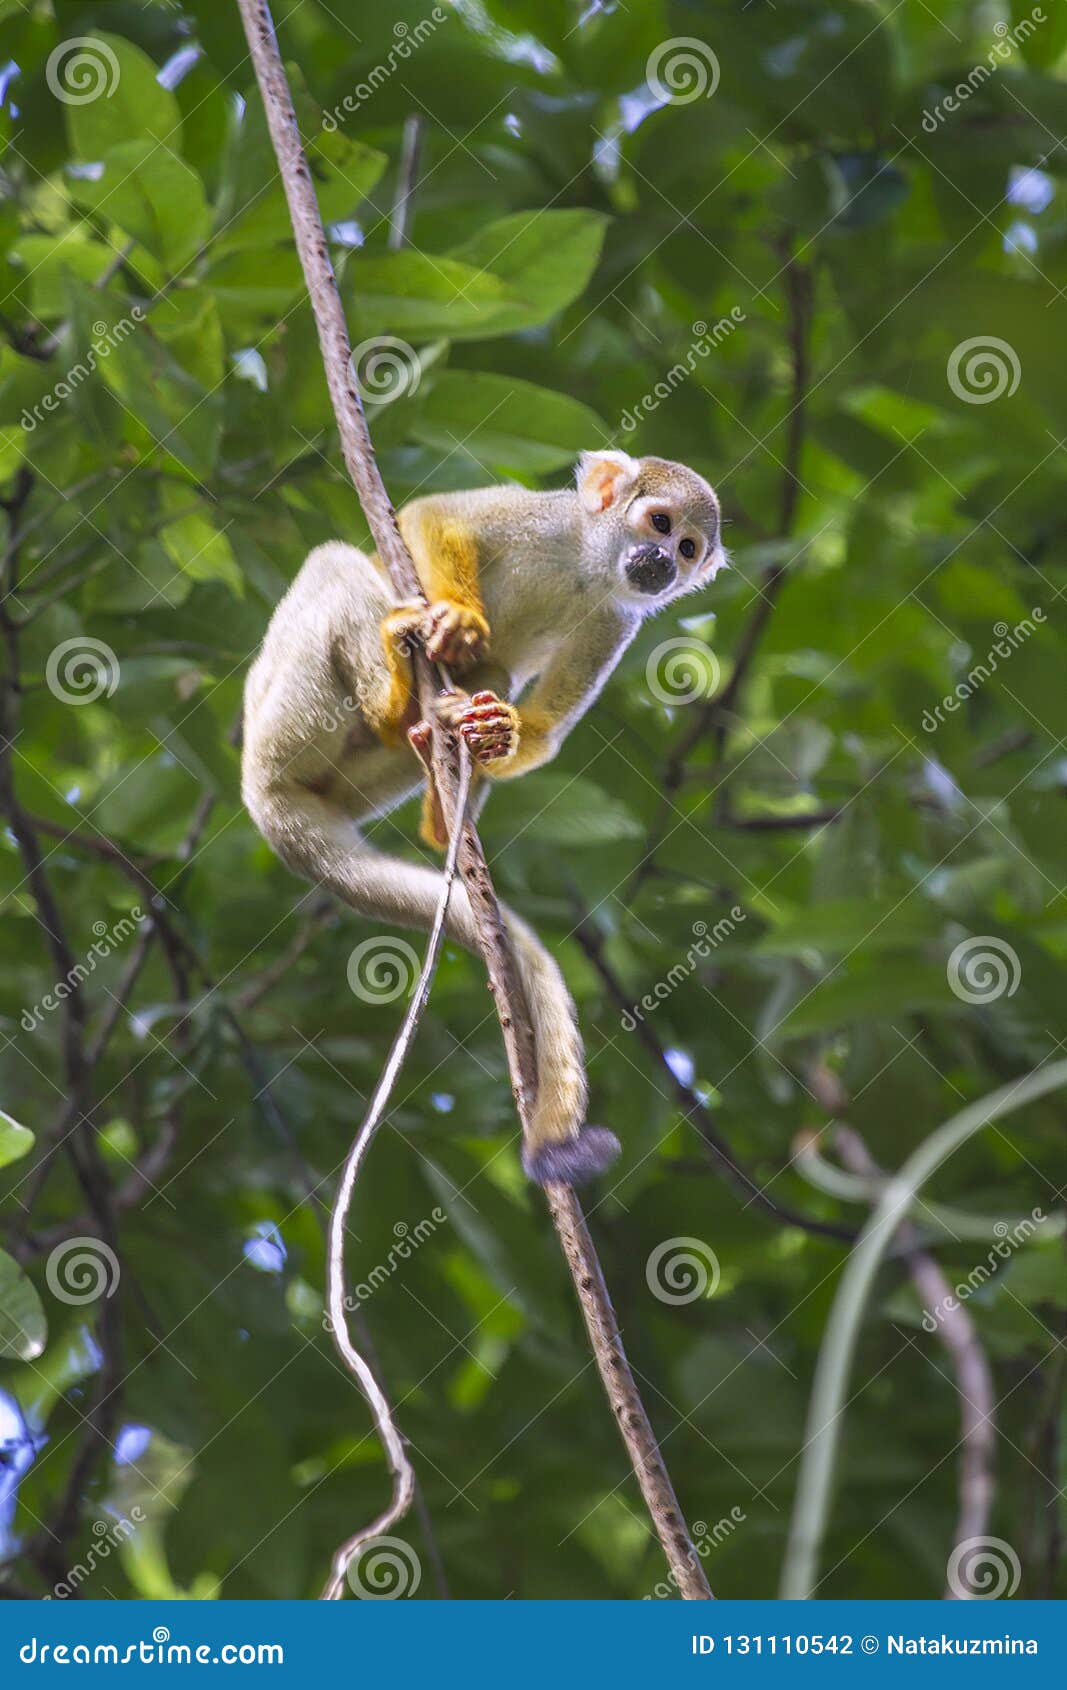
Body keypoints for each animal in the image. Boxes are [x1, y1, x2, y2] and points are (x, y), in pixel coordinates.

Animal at [241, 450, 726, 1185]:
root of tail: (267, 801)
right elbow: (433, 516)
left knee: (479, 679)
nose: (665, 564)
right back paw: (393, 695)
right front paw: (460, 619)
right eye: (661, 523)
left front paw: (500, 731)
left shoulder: (618, 621)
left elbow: (545, 734)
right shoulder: (550, 521)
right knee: (335, 565)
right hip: (279, 718)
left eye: (690, 548)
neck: (588, 566)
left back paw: (434, 781)